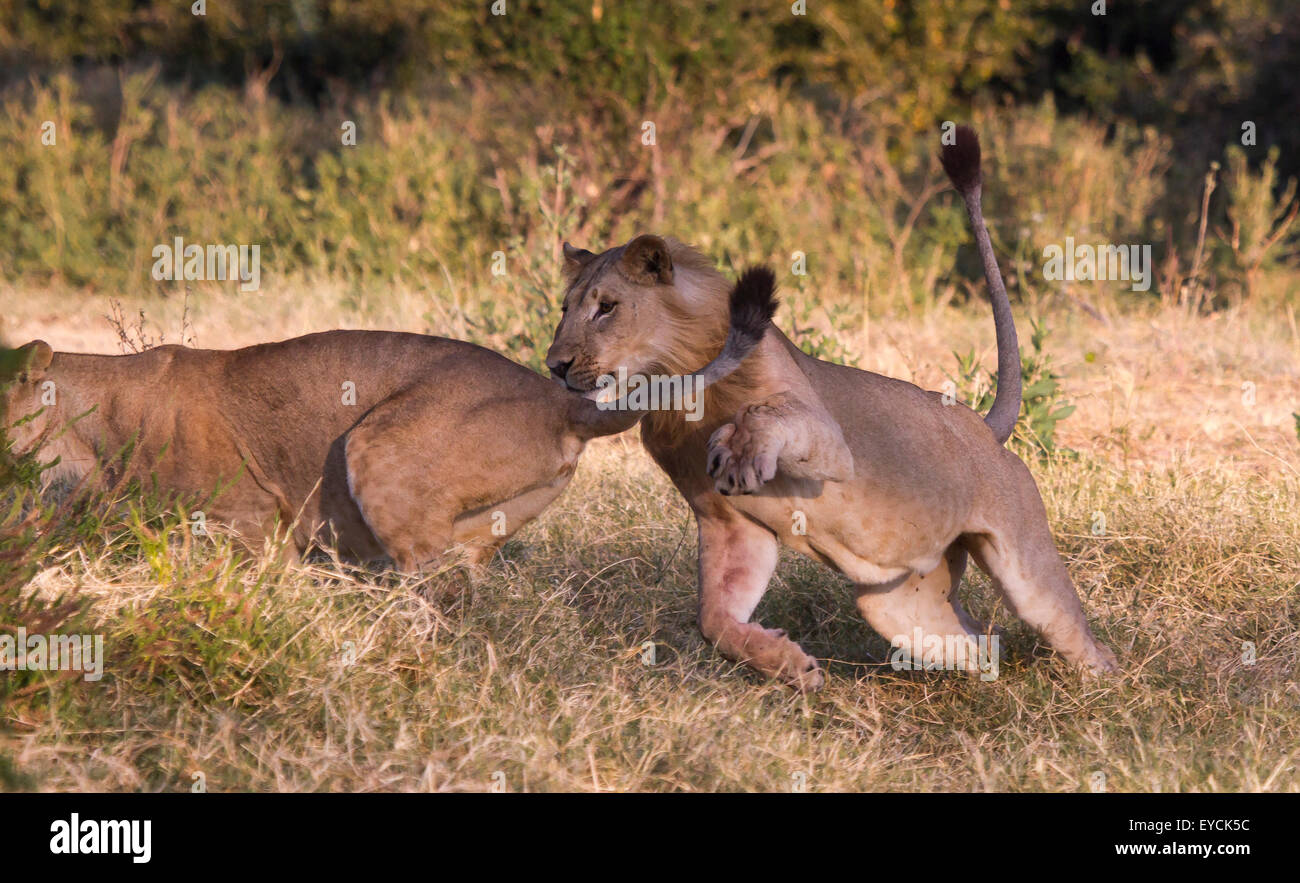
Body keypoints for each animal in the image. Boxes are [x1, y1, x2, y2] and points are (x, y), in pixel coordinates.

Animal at [545, 125, 1119, 690]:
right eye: (565, 309)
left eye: (606, 308)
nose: (554, 365)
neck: (676, 384)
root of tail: (982, 426)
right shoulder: (731, 523)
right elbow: (713, 619)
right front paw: (788, 665)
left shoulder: (832, 445)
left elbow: (766, 416)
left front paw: (739, 447)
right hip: (898, 609)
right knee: (977, 640)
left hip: (1030, 574)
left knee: (1080, 639)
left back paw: (1107, 688)